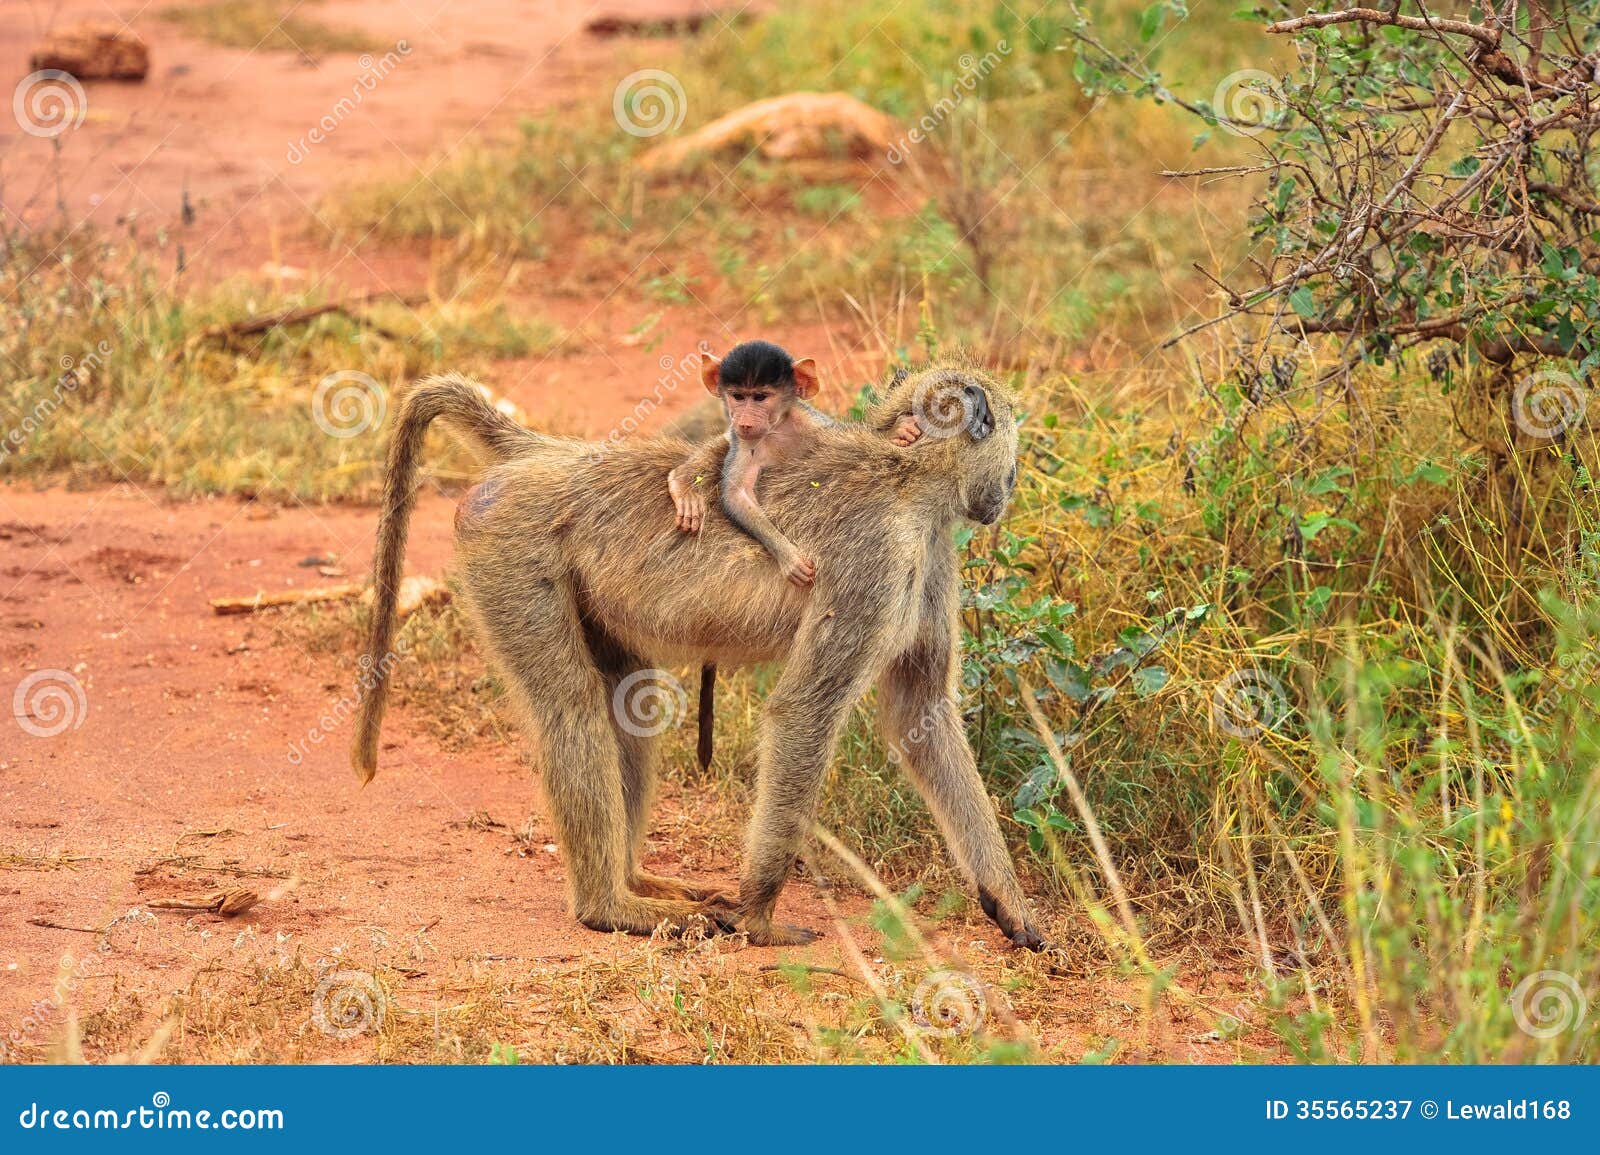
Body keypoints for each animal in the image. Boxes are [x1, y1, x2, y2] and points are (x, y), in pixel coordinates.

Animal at [351, 361, 1046, 951]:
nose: (1009, 488)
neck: (908, 479)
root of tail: (546, 456)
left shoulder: (927, 555)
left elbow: (920, 713)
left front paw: (1009, 903)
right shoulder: (874, 558)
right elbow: (805, 712)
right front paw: (759, 915)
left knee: (625, 700)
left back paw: (636, 882)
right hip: (512, 551)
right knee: (571, 705)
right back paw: (611, 907)